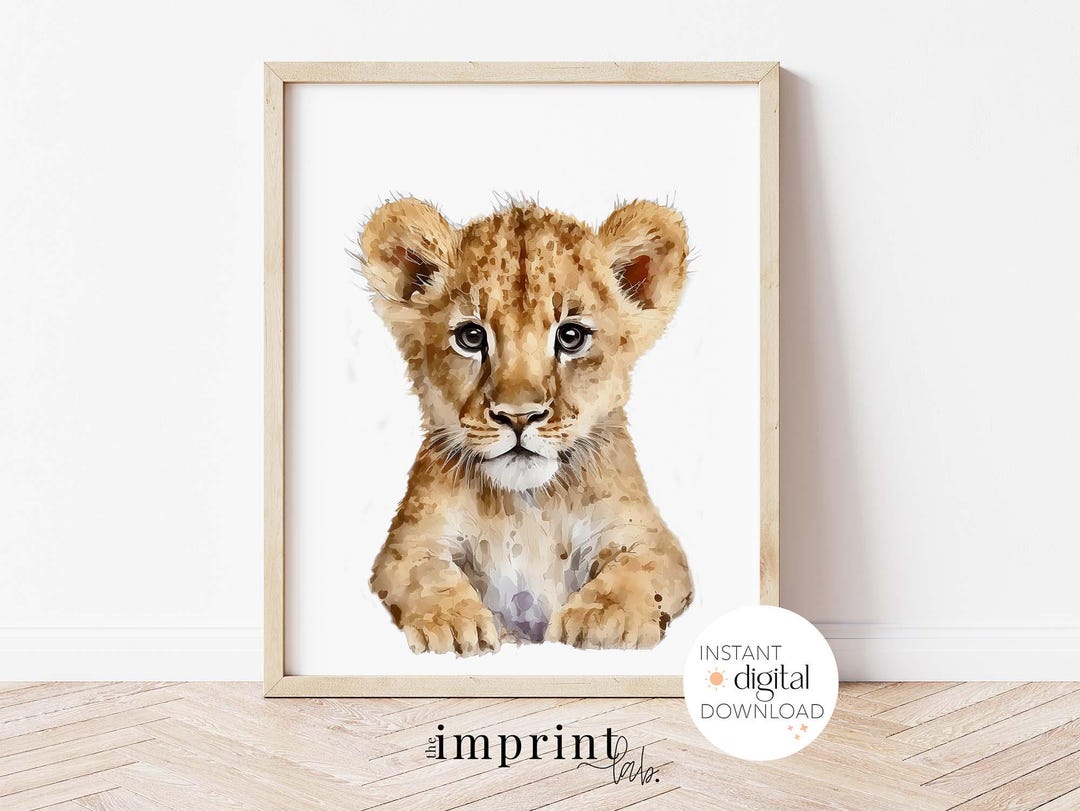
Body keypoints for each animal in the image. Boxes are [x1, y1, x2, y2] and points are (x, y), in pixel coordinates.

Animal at [356, 198, 694, 655]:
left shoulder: (648, 537)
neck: (525, 505)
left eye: (571, 336)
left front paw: (600, 618)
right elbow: (423, 573)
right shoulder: (409, 541)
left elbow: (637, 570)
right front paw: (453, 622)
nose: (518, 416)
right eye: (471, 336)